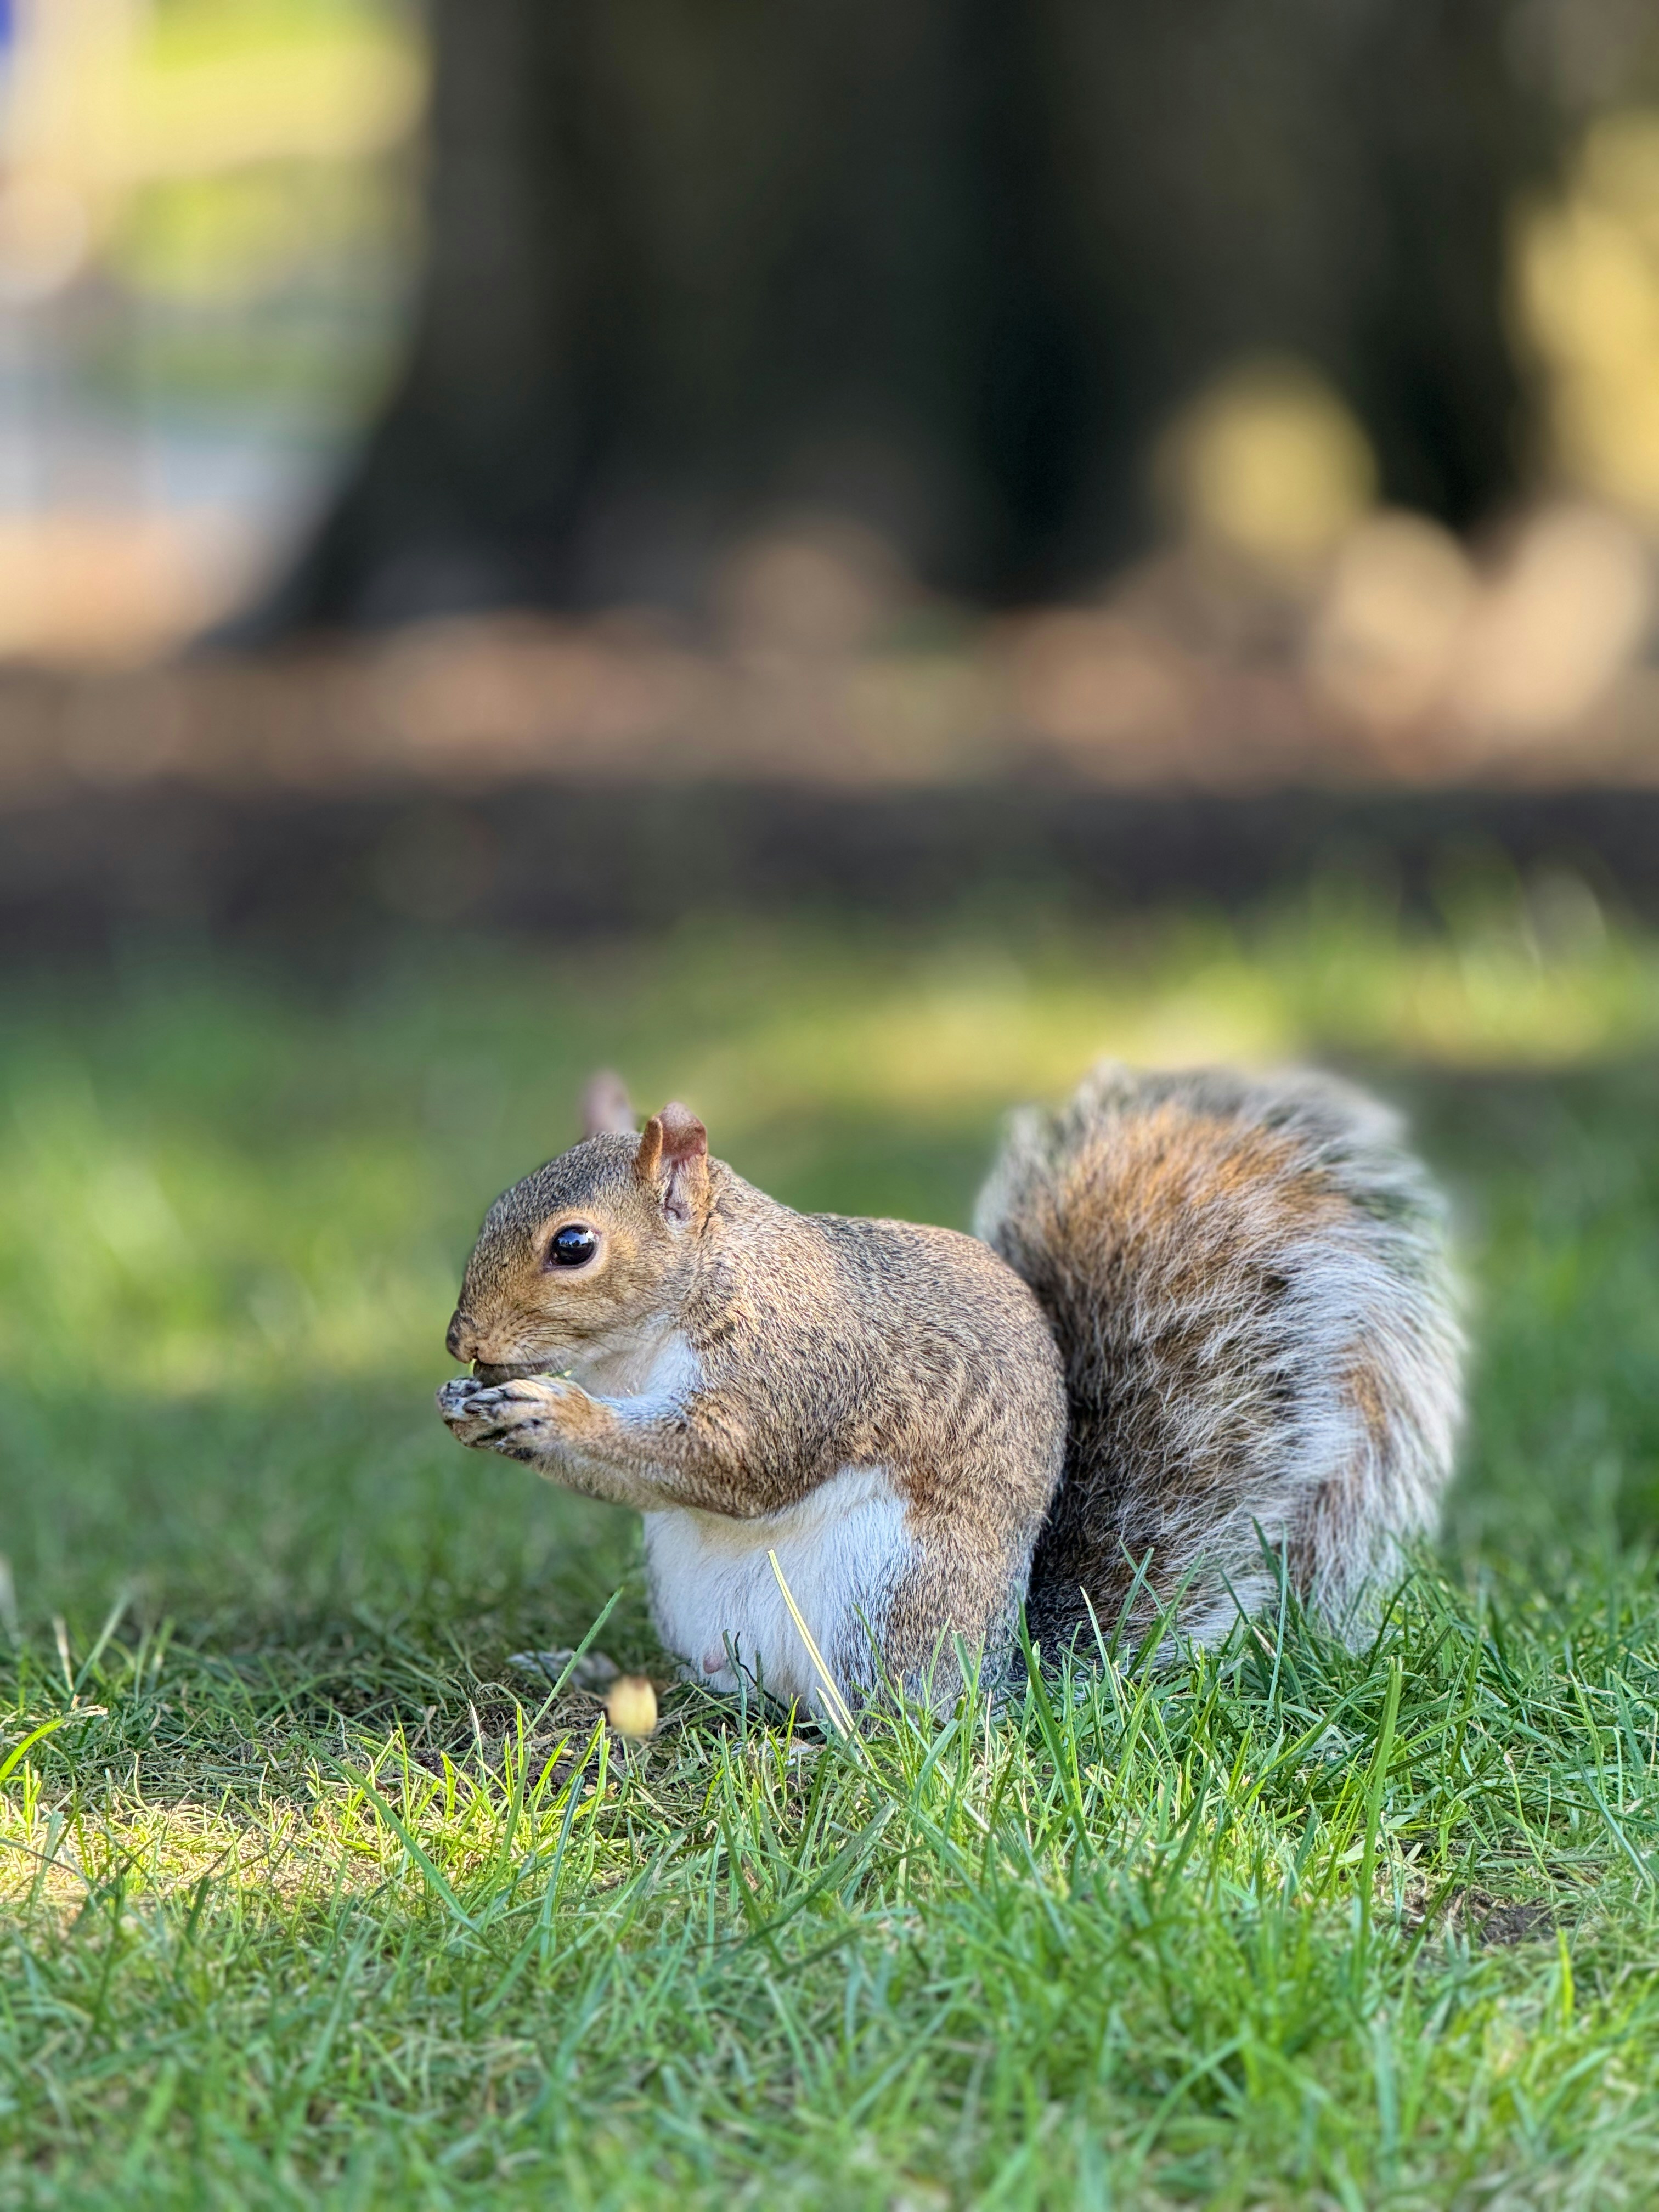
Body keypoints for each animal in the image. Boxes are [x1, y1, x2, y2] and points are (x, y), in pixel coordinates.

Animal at [438, 1062, 1461, 1716]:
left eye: (573, 1245)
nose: (461, 1340)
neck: (645, 1346)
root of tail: (996, 1676)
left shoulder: (798, 1366)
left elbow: (735, 1462)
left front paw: (553, 1412)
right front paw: (476, 1409)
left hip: (885, 1599)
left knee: (889, 1724)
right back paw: (601, 1673)